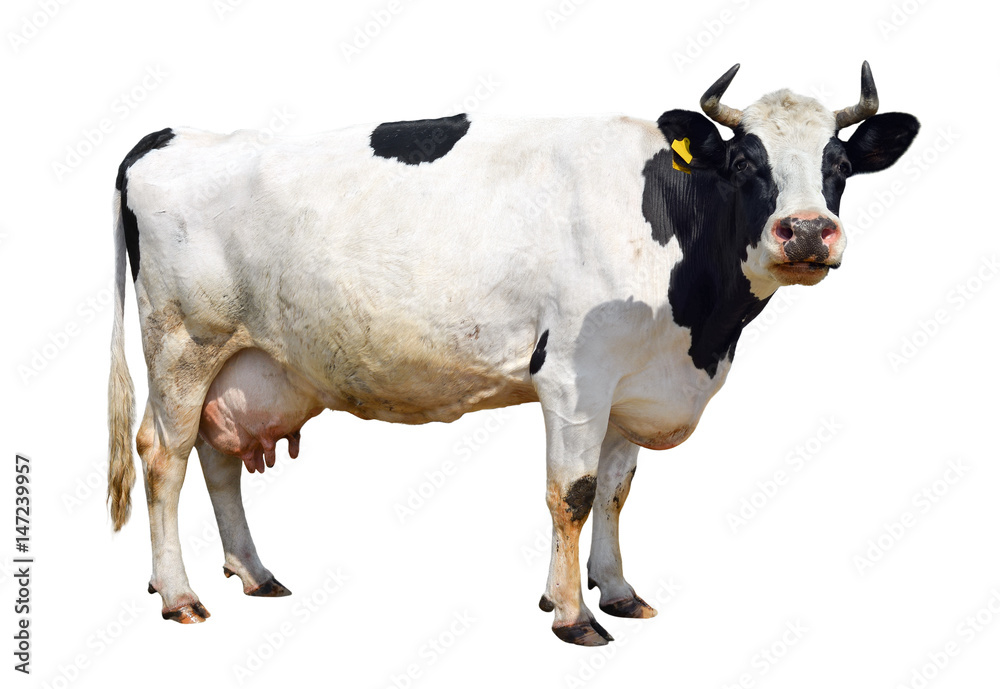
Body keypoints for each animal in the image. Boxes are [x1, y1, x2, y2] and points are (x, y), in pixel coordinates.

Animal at [107, 63, 918, 645]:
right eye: (747, 162)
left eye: (838, 163)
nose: (806, 231)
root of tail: (170, 136)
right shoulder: (576, 376)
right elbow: (573, 493)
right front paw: (572, 615)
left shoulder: (632, 383)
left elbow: (616, 492)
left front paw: (615, 592)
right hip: (181, 344)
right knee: (163, 455)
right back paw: (179, 594)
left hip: (241, 362)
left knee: (214, 455)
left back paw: (253, 572)